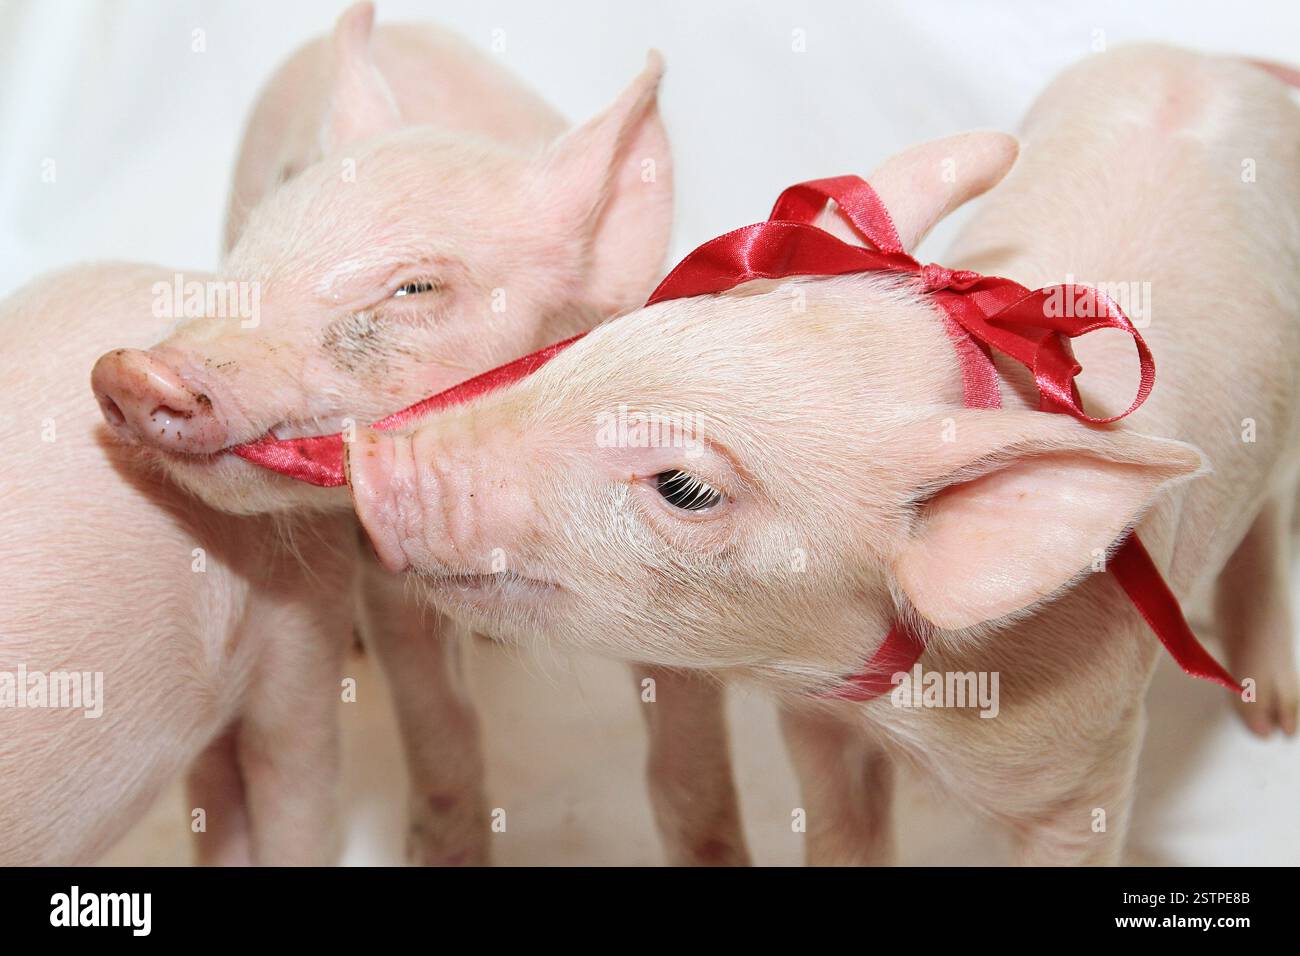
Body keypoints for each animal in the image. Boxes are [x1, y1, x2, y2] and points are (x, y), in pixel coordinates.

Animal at [91, 3, 748, 865]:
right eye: (251, 249)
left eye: (416, 287)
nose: (132, 373)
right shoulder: (383, 557)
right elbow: (438, 719)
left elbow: (689, 770)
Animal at [346, 45, 1300, 865]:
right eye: (618, 333)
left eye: (684, 487)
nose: (368, 455)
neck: (923, 710)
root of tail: (1213, 59)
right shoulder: (816, 725)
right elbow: (843, 832)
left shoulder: (1091, 767)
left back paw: (1272, 719)